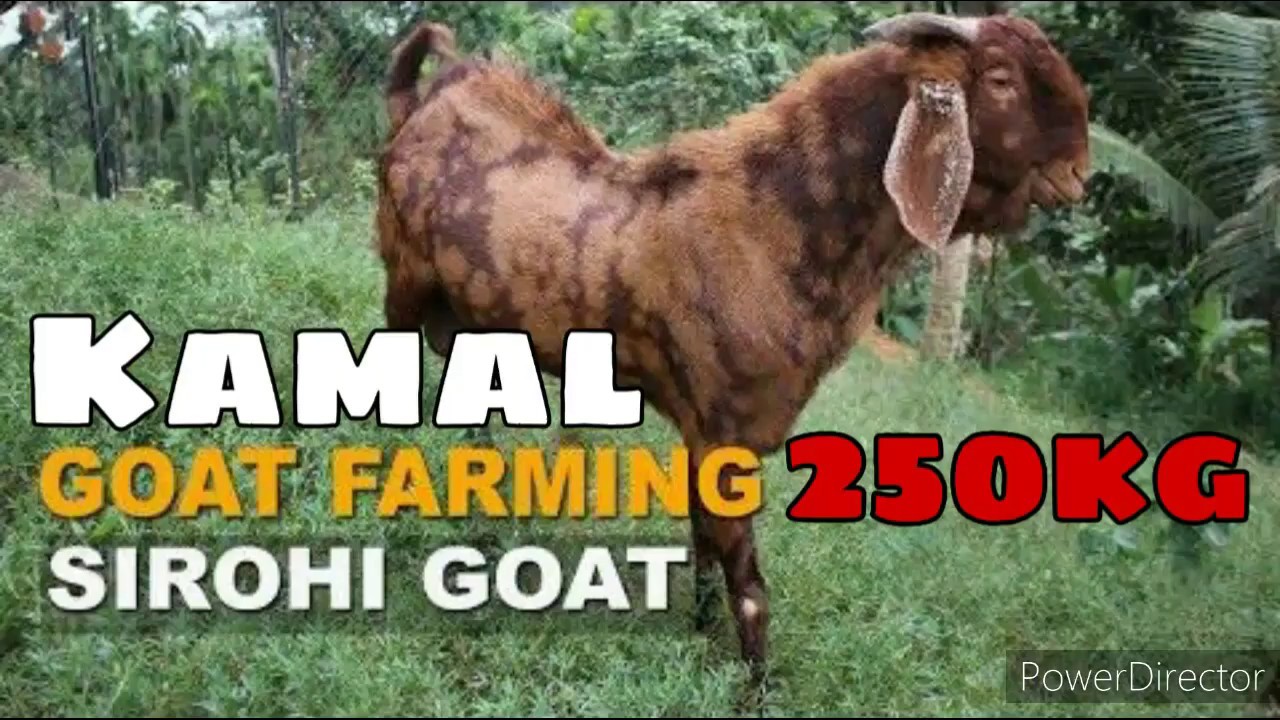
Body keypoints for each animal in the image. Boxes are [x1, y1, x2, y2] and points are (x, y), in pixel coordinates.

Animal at [374, 11, 1090, 684]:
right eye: (1000, 79)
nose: (1079, 171)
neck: (772, 224)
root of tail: (427, 97)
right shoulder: (727, 429)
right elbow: (748, 587)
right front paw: (754, 687)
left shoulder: (706, 428)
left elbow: (703, 550)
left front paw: (700, 638)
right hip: (403, 278)